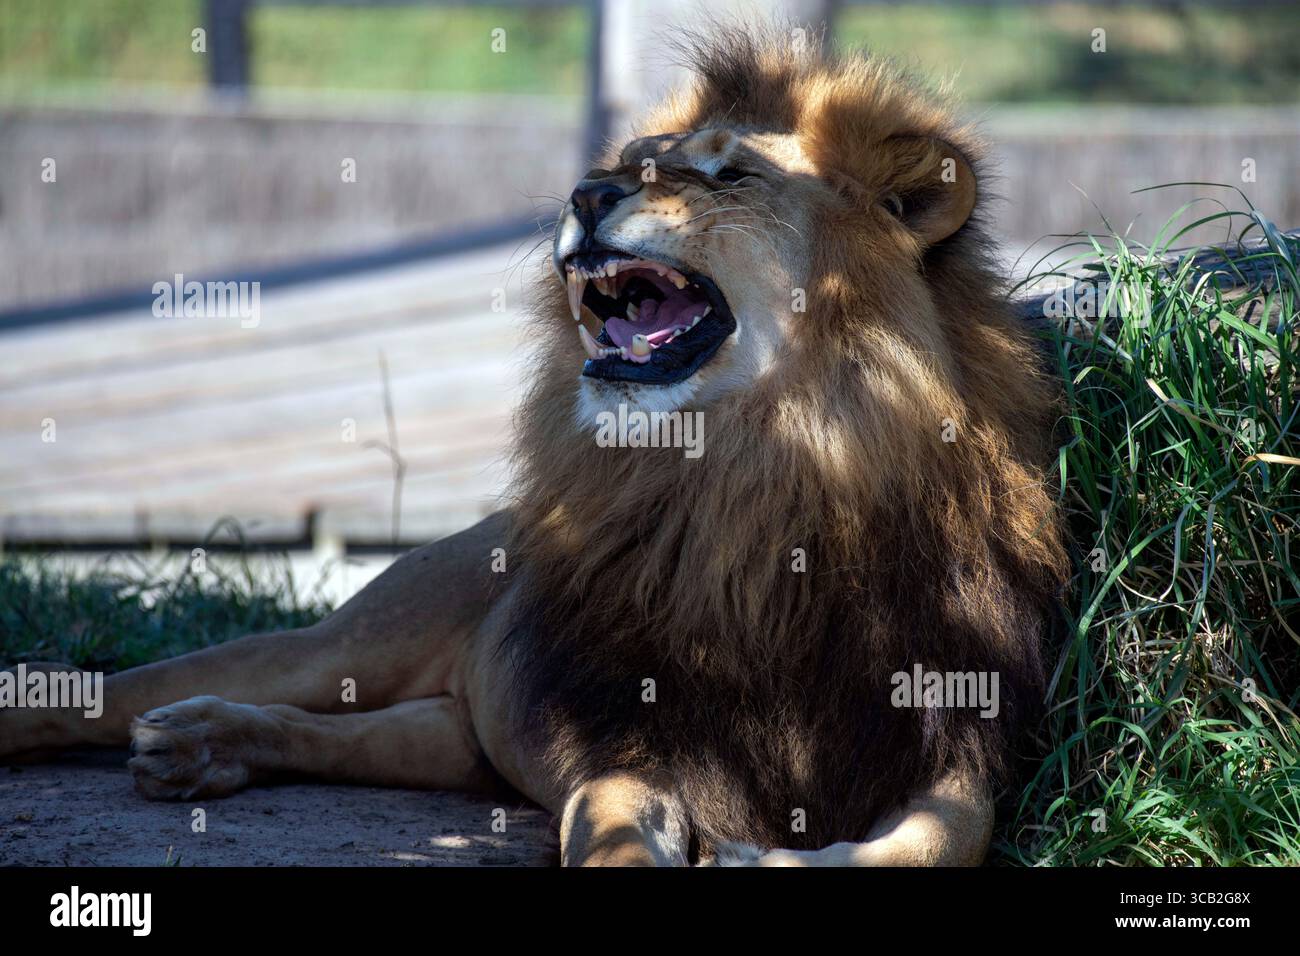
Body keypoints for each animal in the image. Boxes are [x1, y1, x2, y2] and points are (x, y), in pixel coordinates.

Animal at [1, 26, 1067, 866]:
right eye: (635, 160)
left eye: (729, 175)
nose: (586, 192)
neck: (768, 471)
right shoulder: (624, 743)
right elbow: (619, 845)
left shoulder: (948, 737)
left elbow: (942, 839)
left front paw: (767, 860)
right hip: (346, 640)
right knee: (127, 686)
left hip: (453, 734)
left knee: (333, 732)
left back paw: (201, 747)